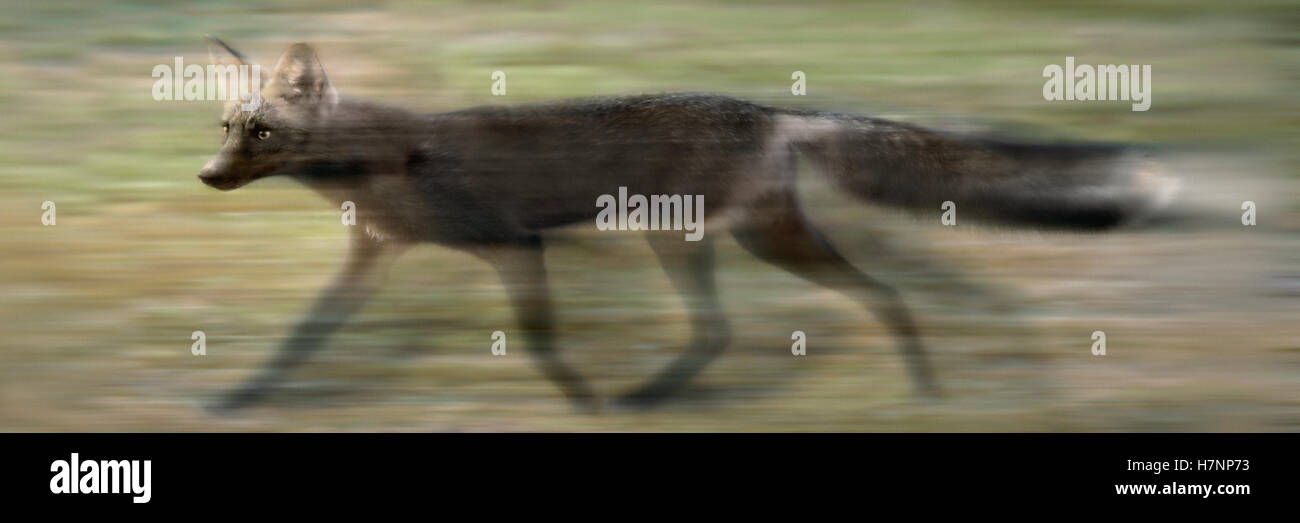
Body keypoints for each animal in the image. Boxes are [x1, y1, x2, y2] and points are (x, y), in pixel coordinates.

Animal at [199, 39, 1179, 413]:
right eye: (226, 127)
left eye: (263, 133)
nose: (206, 177)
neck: (377, 167)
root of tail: (767, 109)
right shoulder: (372, 257)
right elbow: (301, 337)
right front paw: (241, 397)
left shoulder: (515, 244)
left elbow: (543, 341)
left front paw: (584, 402)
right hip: (712, 239)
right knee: (735, 326)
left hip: (723, 239)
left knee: (862, 297)